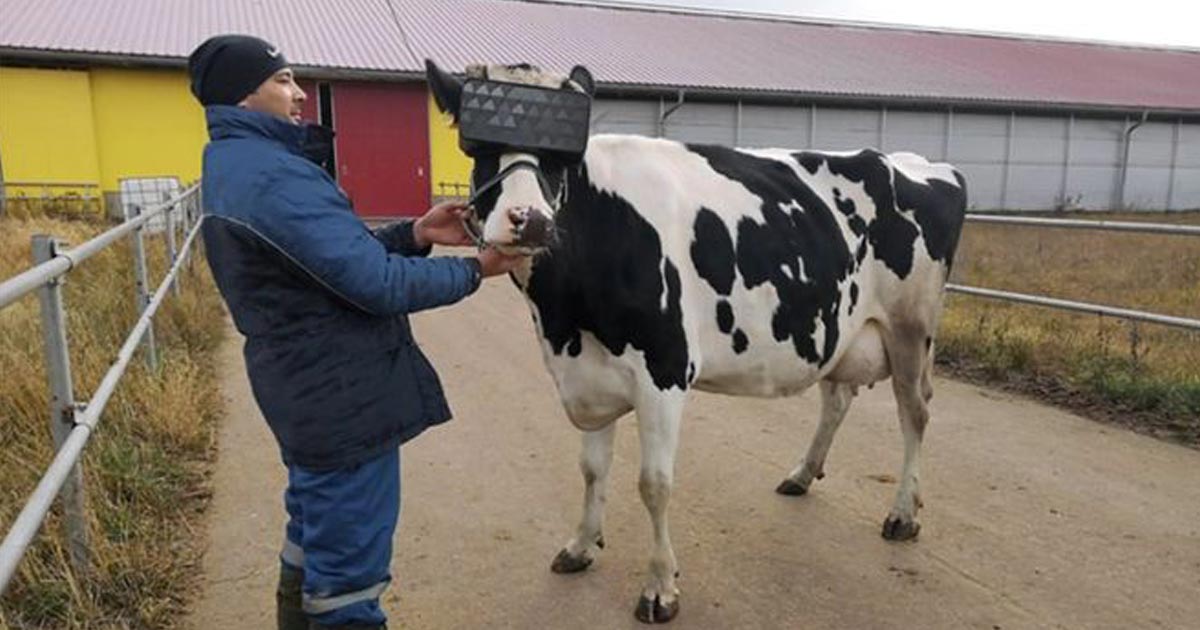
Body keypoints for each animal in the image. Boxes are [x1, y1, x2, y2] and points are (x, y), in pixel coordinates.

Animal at [425, 60, 967, 624]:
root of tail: (917, 163)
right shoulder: (587, 374)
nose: (528, 220)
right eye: (478, 150)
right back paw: (802, 474)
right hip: (839, 327)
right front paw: (580, 546)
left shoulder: (664, 370)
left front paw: (660, 587)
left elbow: (654, 484)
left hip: (911, 328)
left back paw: (902, 514)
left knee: (914, 412)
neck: (564, 318)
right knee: (837, 397)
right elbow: (593, 470)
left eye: (562, 159)